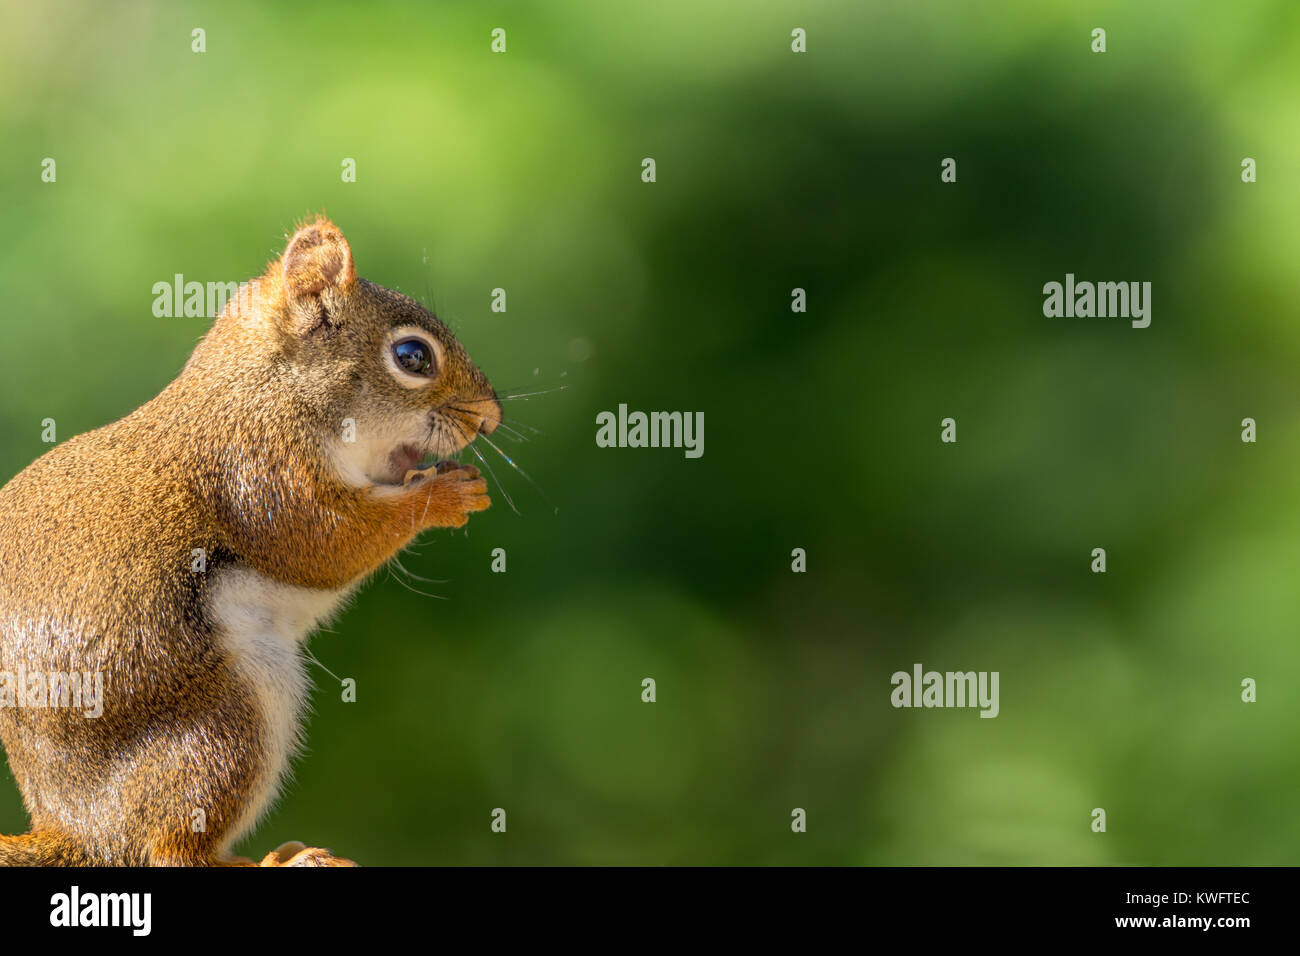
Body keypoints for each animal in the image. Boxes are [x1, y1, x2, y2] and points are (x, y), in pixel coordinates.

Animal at [0, 215, 500, 866]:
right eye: (413, 356)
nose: (489, 418)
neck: (268, 391)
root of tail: (78, 829)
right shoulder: (261, 470)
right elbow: (327, 543)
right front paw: (445, 495)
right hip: (224, 724)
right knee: (169, 847)